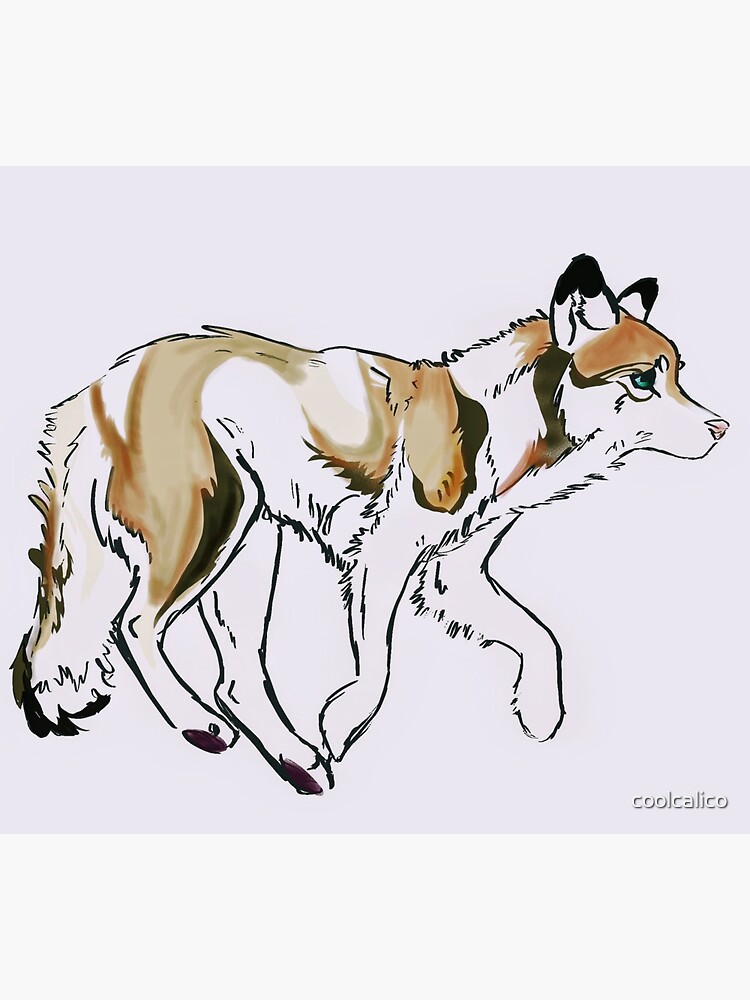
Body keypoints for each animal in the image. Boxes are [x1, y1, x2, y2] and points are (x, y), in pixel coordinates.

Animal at [11, 255, 728, 794]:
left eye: (679, 377)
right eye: (644, 382)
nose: (721, 428)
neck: (511, 424)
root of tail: (106, 378)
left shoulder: (453, 574)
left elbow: (541, 638)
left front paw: (542, 712)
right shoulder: (381, 557)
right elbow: (378, 669)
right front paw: (343, 720)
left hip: (250, 544)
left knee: (233, 679)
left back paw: (294, 761)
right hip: (209, 527)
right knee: (133, 626)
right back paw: (200, 726)